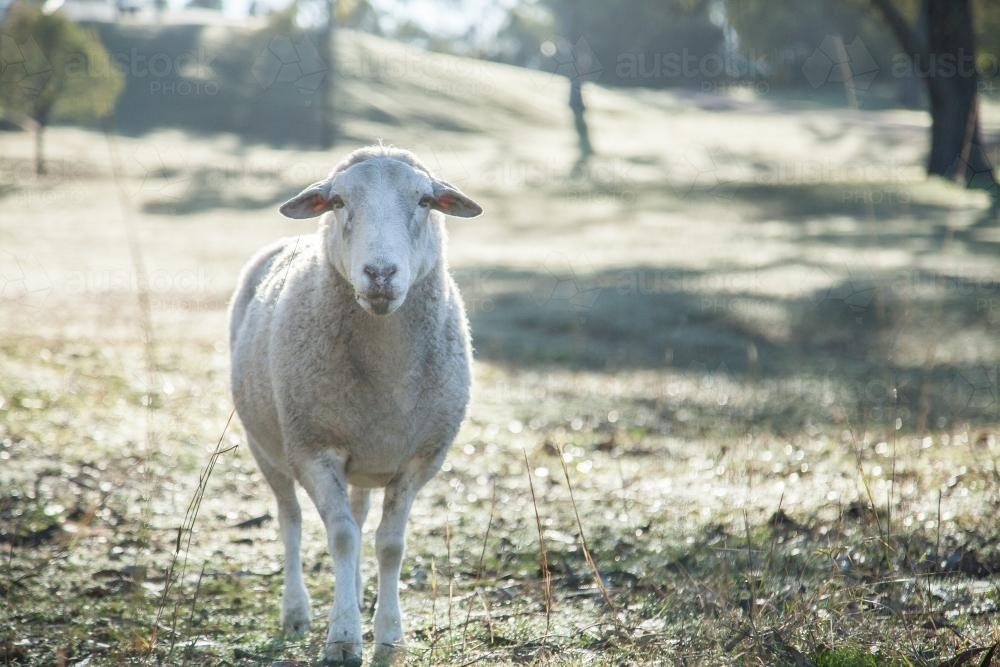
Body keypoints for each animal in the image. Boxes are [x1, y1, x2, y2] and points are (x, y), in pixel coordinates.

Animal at [228, 145, 483, 666]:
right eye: (338, 201)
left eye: (425, 200)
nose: (381, 274)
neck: (387, 373)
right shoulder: (314, 449)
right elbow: (341, 536)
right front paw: (343, 638)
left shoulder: (420, 459)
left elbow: (389, 544)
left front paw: (389, 636)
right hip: (267, 447)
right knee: (291, 520)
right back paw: (297, 612)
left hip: (365, 461)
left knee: (361, 518)